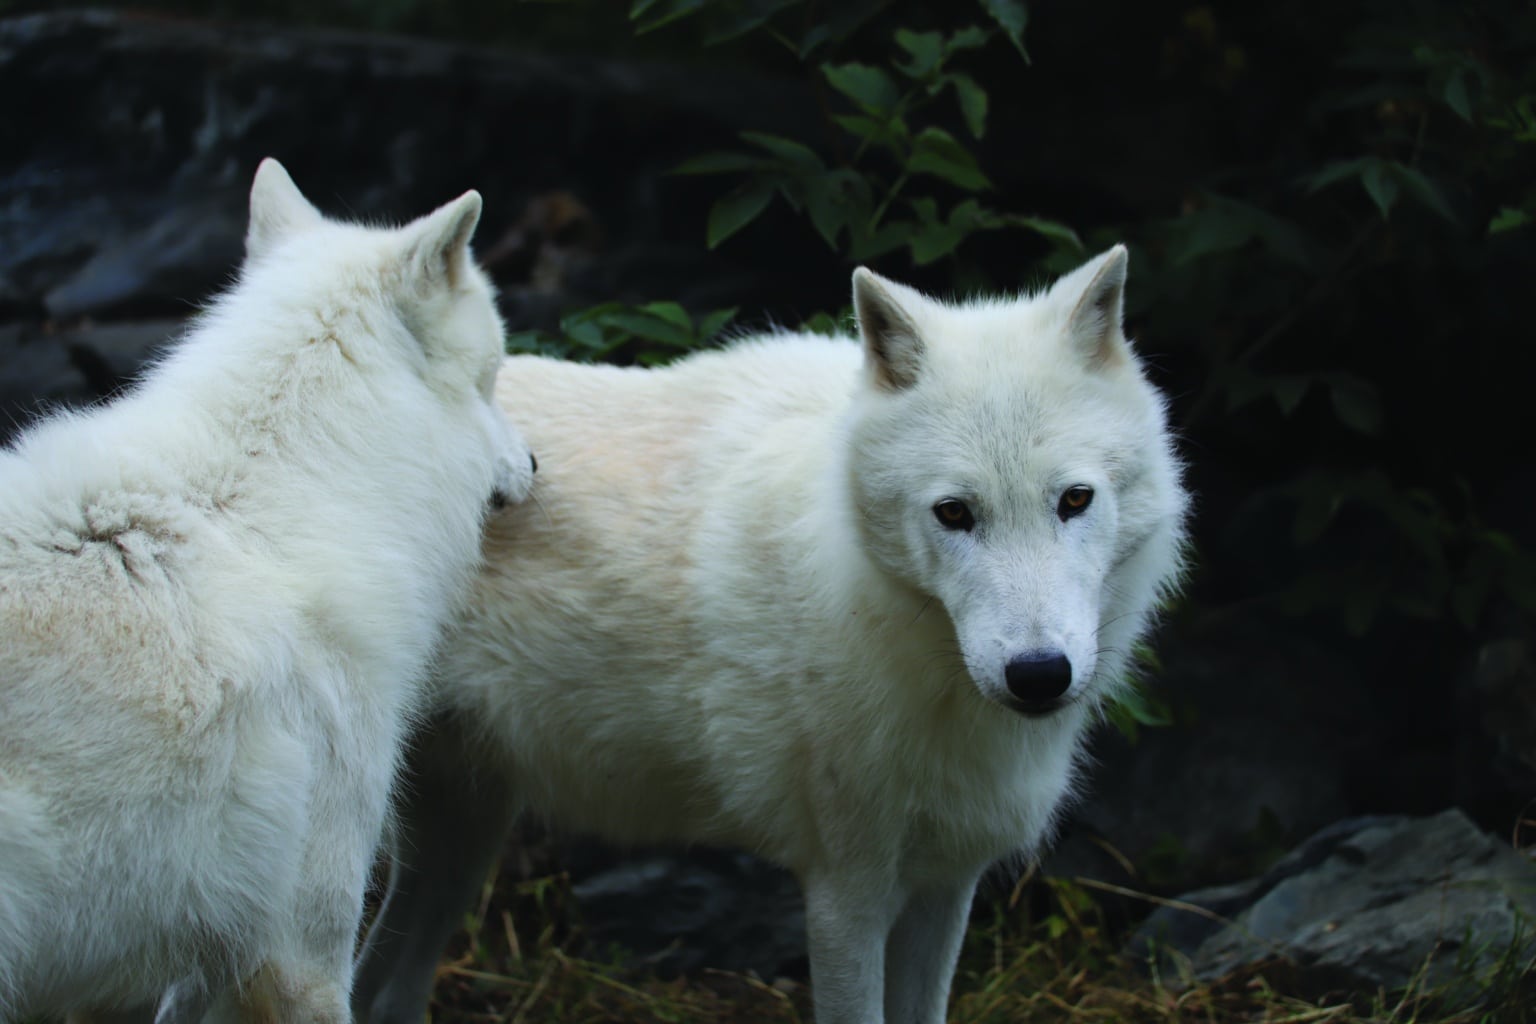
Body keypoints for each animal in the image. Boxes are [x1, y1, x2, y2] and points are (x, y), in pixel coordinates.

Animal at [353, 247, 1187, 1024]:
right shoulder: (845, 893)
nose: (1039, 674)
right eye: (954, 513)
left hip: (460, 842)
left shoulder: (946, 884)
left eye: (1074, 500)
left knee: (382, 992)